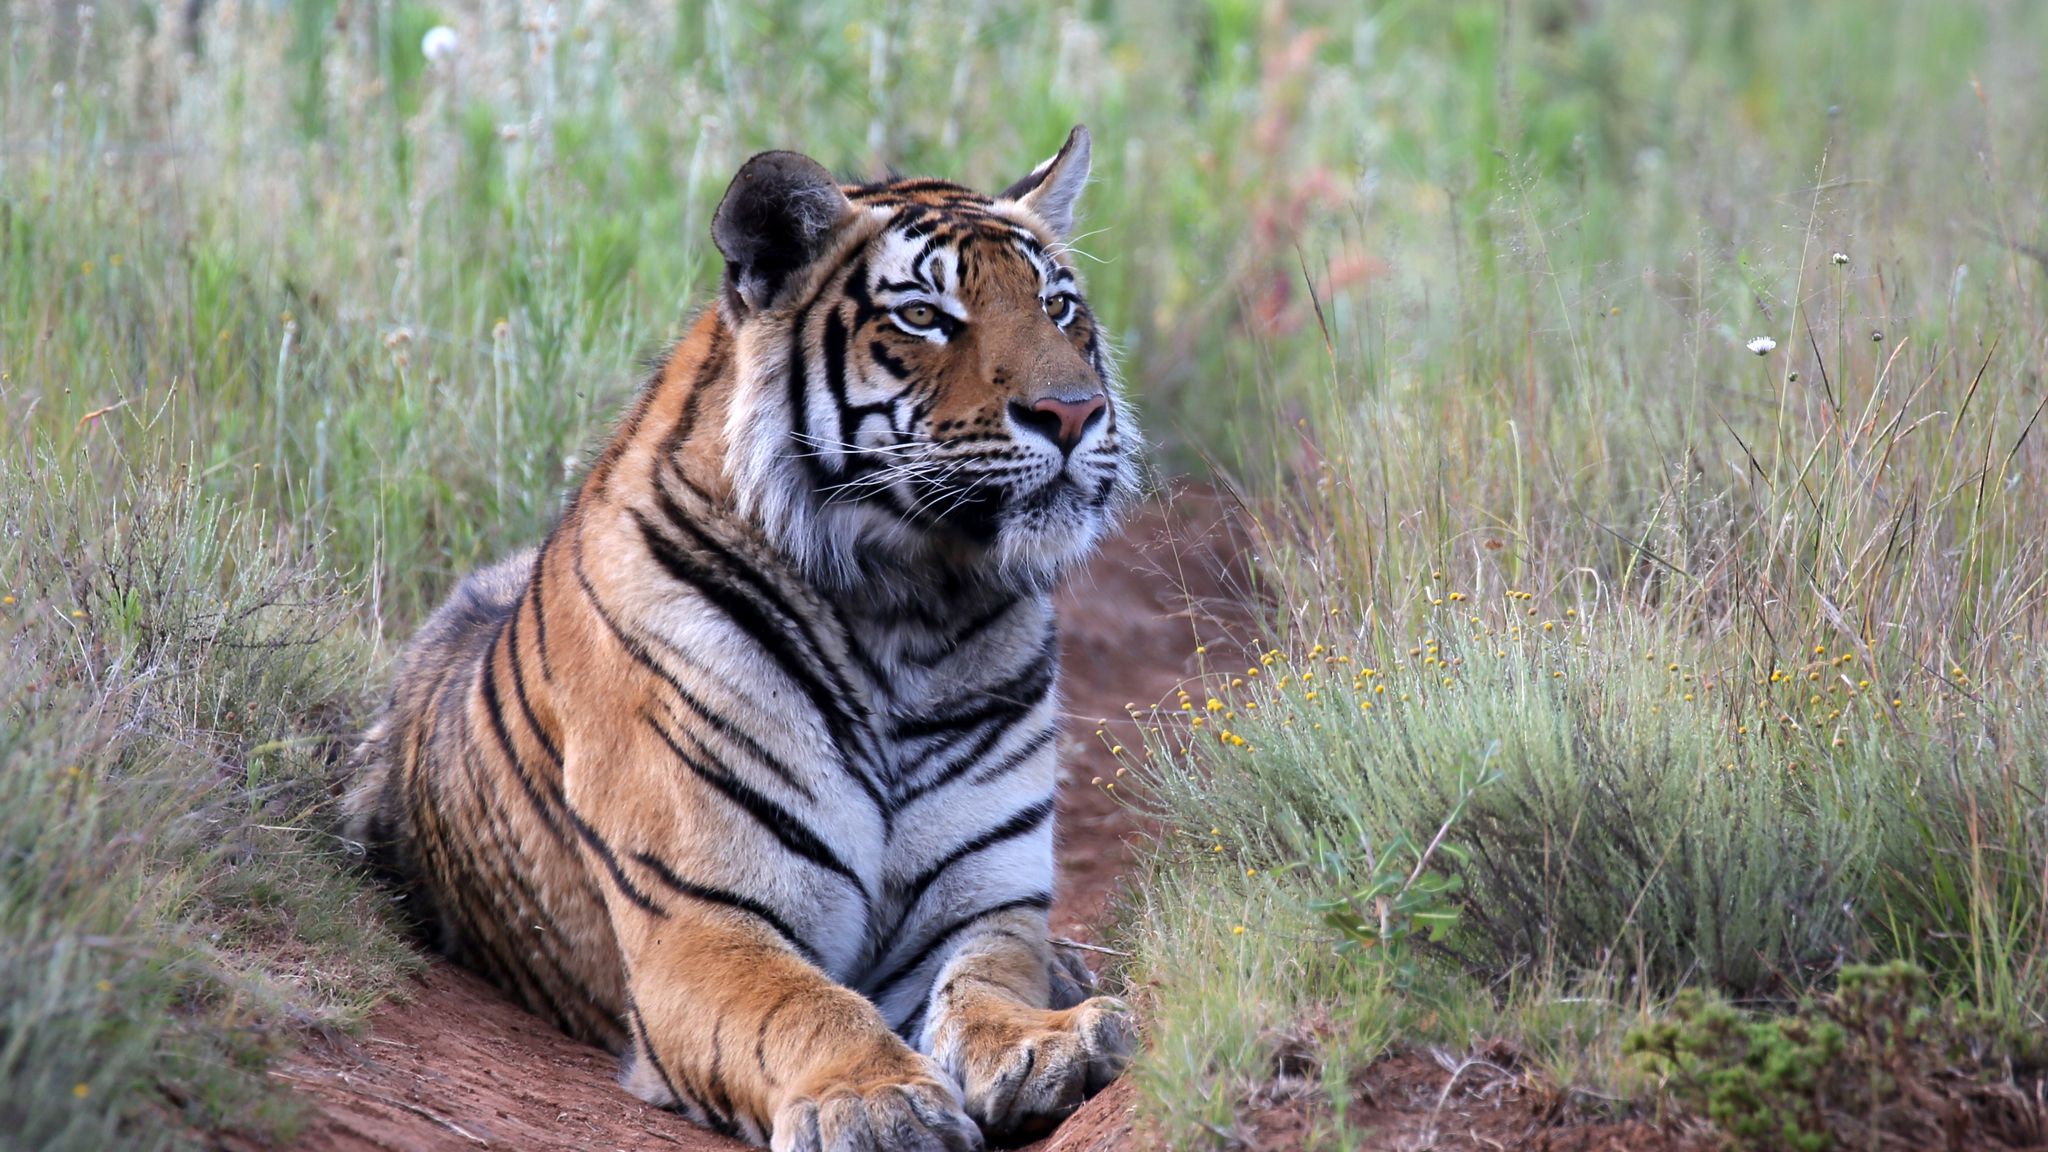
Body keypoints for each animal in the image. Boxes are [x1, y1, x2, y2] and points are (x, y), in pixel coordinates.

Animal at [342, 125, 1139, 1152]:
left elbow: (992, 984)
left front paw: (1051, 1042)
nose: (1075, 412)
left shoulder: (980, 907)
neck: (911, 616)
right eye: (925, 315)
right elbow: (804, 1006)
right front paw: (874, 1102)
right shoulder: (703, 921)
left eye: (1058, 306)